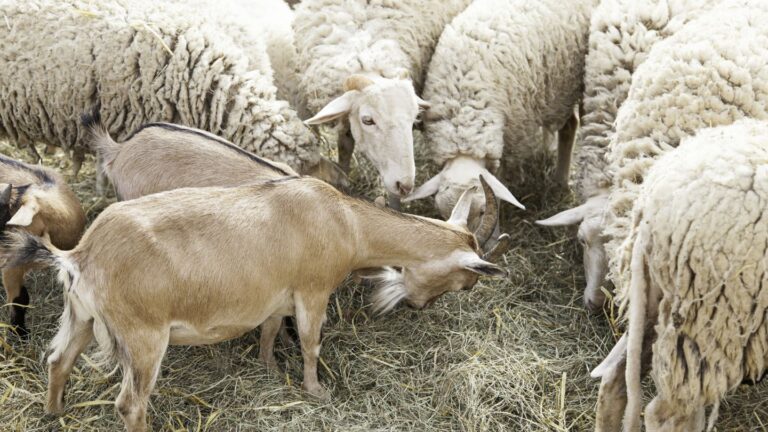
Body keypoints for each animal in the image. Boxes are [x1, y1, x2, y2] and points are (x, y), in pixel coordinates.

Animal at [0, 175, 511, 432]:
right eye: (466, 282)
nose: (420, 307)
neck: (346, 221)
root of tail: (82, 256)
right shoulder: (312, 290)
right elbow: (310, 342)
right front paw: (316, 391)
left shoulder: (277, 294)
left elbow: (268, 329)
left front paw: (267, 368)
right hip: (143, 335)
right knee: (129, 404)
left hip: (81, 314)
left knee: (58, 359)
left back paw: (54, 412)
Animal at [407, 0, 598, 228]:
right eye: (442, 213)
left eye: (482, 211)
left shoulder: (511, 134)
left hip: (566, 86)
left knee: (570, 126)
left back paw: (560, 180)